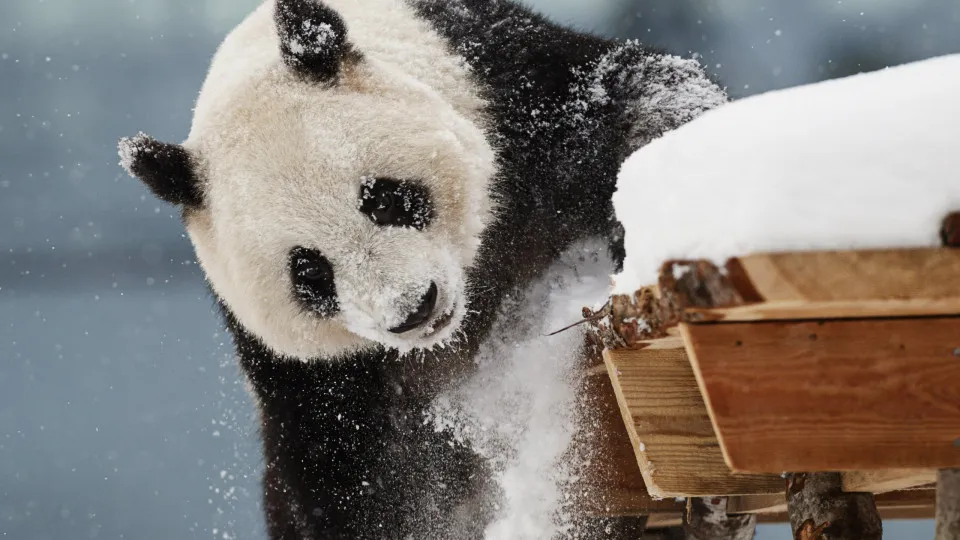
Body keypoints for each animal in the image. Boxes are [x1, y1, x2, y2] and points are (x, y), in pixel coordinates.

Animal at [118, 0, 726, 538]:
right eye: (310, 273)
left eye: (383, 199)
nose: (412, 309)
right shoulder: (308, 375)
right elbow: (348, 482)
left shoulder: (513, 96)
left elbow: (633, 99)